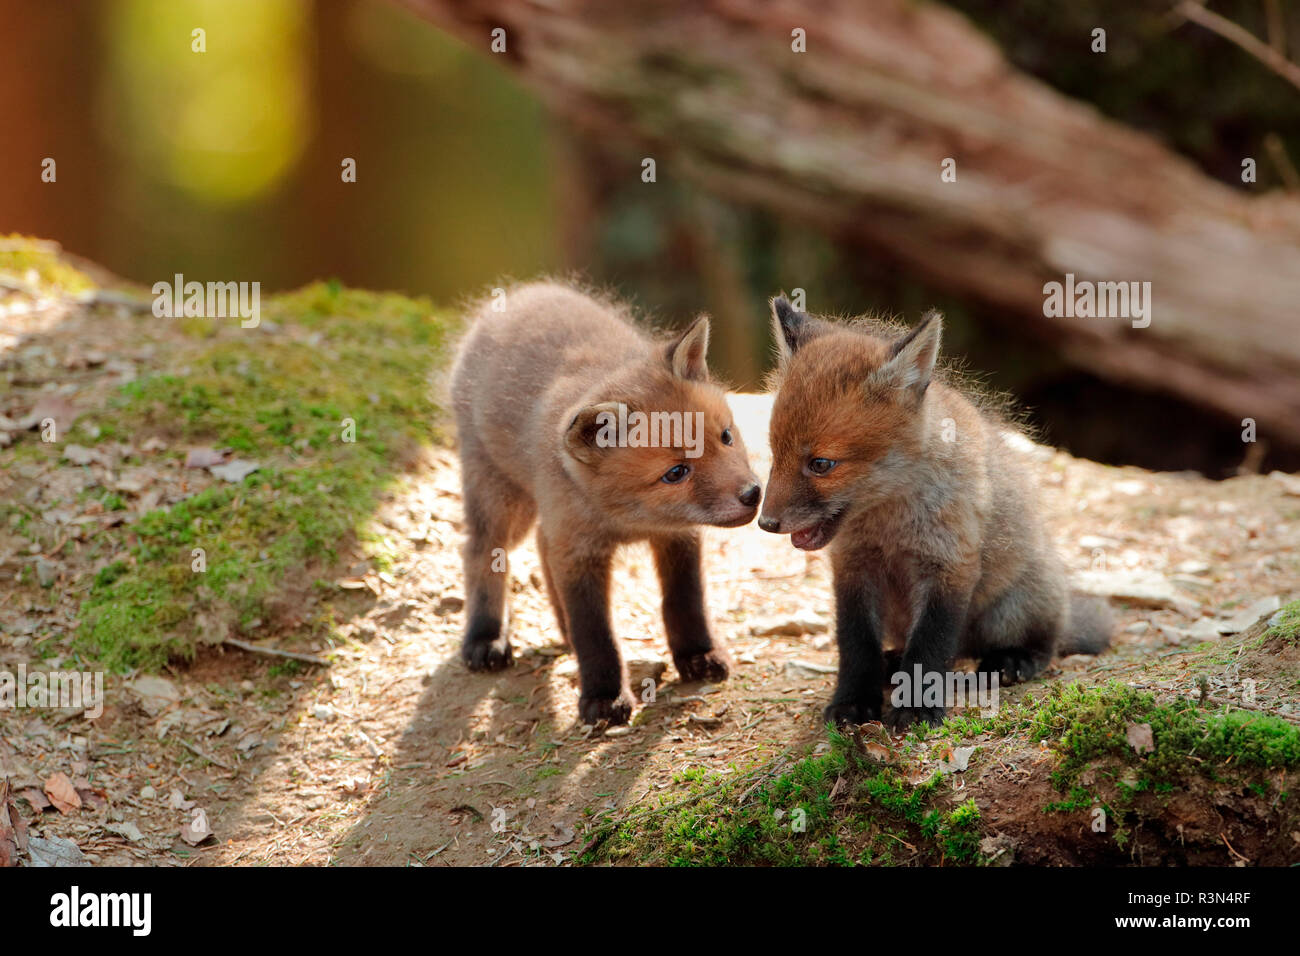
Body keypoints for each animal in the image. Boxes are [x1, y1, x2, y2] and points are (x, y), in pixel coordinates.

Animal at [449, 281, 761, 725]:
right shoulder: (580, 552)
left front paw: (698, 654)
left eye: (726, 437)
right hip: (501, 496)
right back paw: (485, 636)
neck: (627, 518)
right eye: (676, 472)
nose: (753, 494)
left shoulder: (677, 536)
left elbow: (685, 602)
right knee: (480, 552)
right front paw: (603, 696)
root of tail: (527, 290)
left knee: (541, 543)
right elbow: (595, 632)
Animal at [757, 296, 1111, 731]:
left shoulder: (950, 564)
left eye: (821, 464)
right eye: (775, 454)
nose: (765, 523)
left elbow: (930, 645)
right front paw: (853, 701)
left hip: (1016, 607)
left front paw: (915, 707)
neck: (889, 521)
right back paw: (892, 664)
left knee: (1040, 644)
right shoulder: (853, 568)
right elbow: (855, 644)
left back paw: (1013, 659)